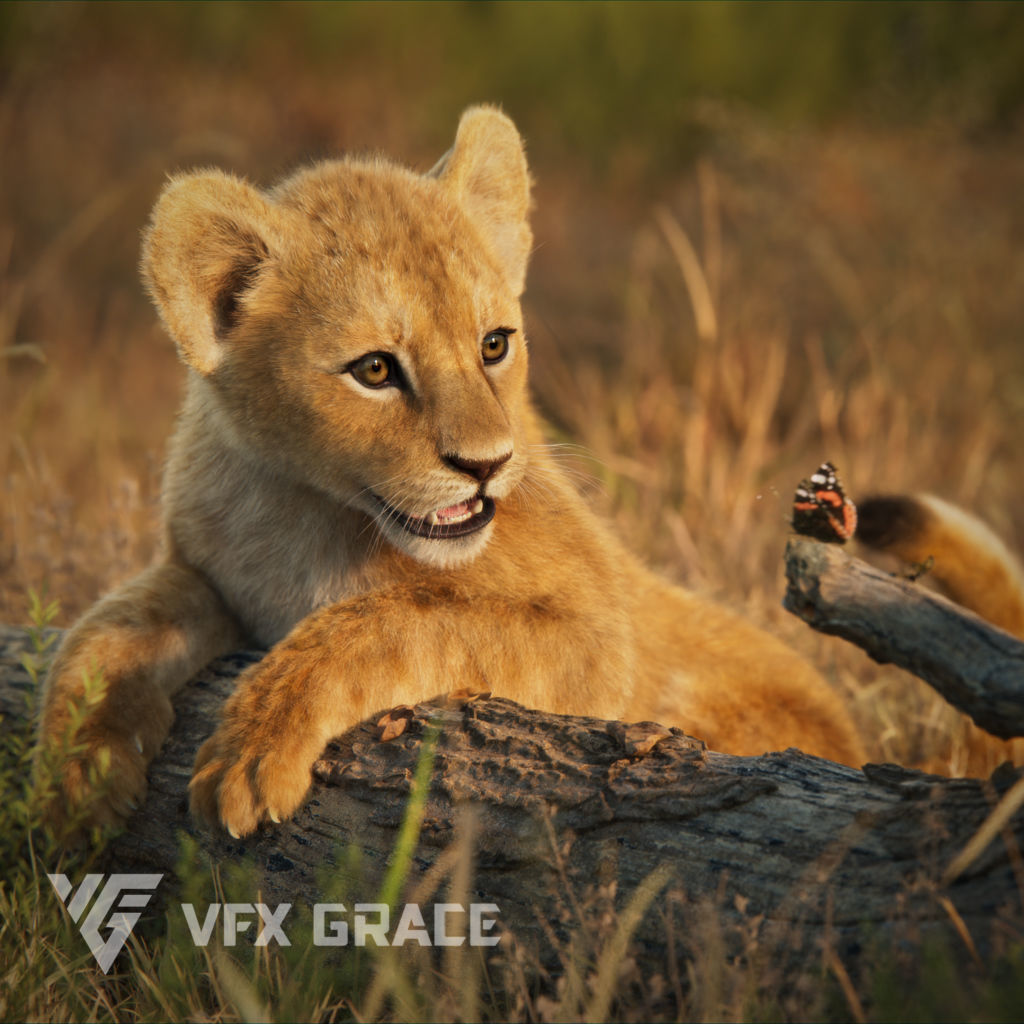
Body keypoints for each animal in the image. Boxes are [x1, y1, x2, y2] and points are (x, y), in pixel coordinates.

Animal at [37, 106, 866, 838]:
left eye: (494, 344)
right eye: (375, 370)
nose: (487, 464)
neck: (307, 511)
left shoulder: (598, 637)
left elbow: (395, 616)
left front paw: (249, 751)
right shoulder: (206, 575)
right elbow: (107, 628)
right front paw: (73, 781)